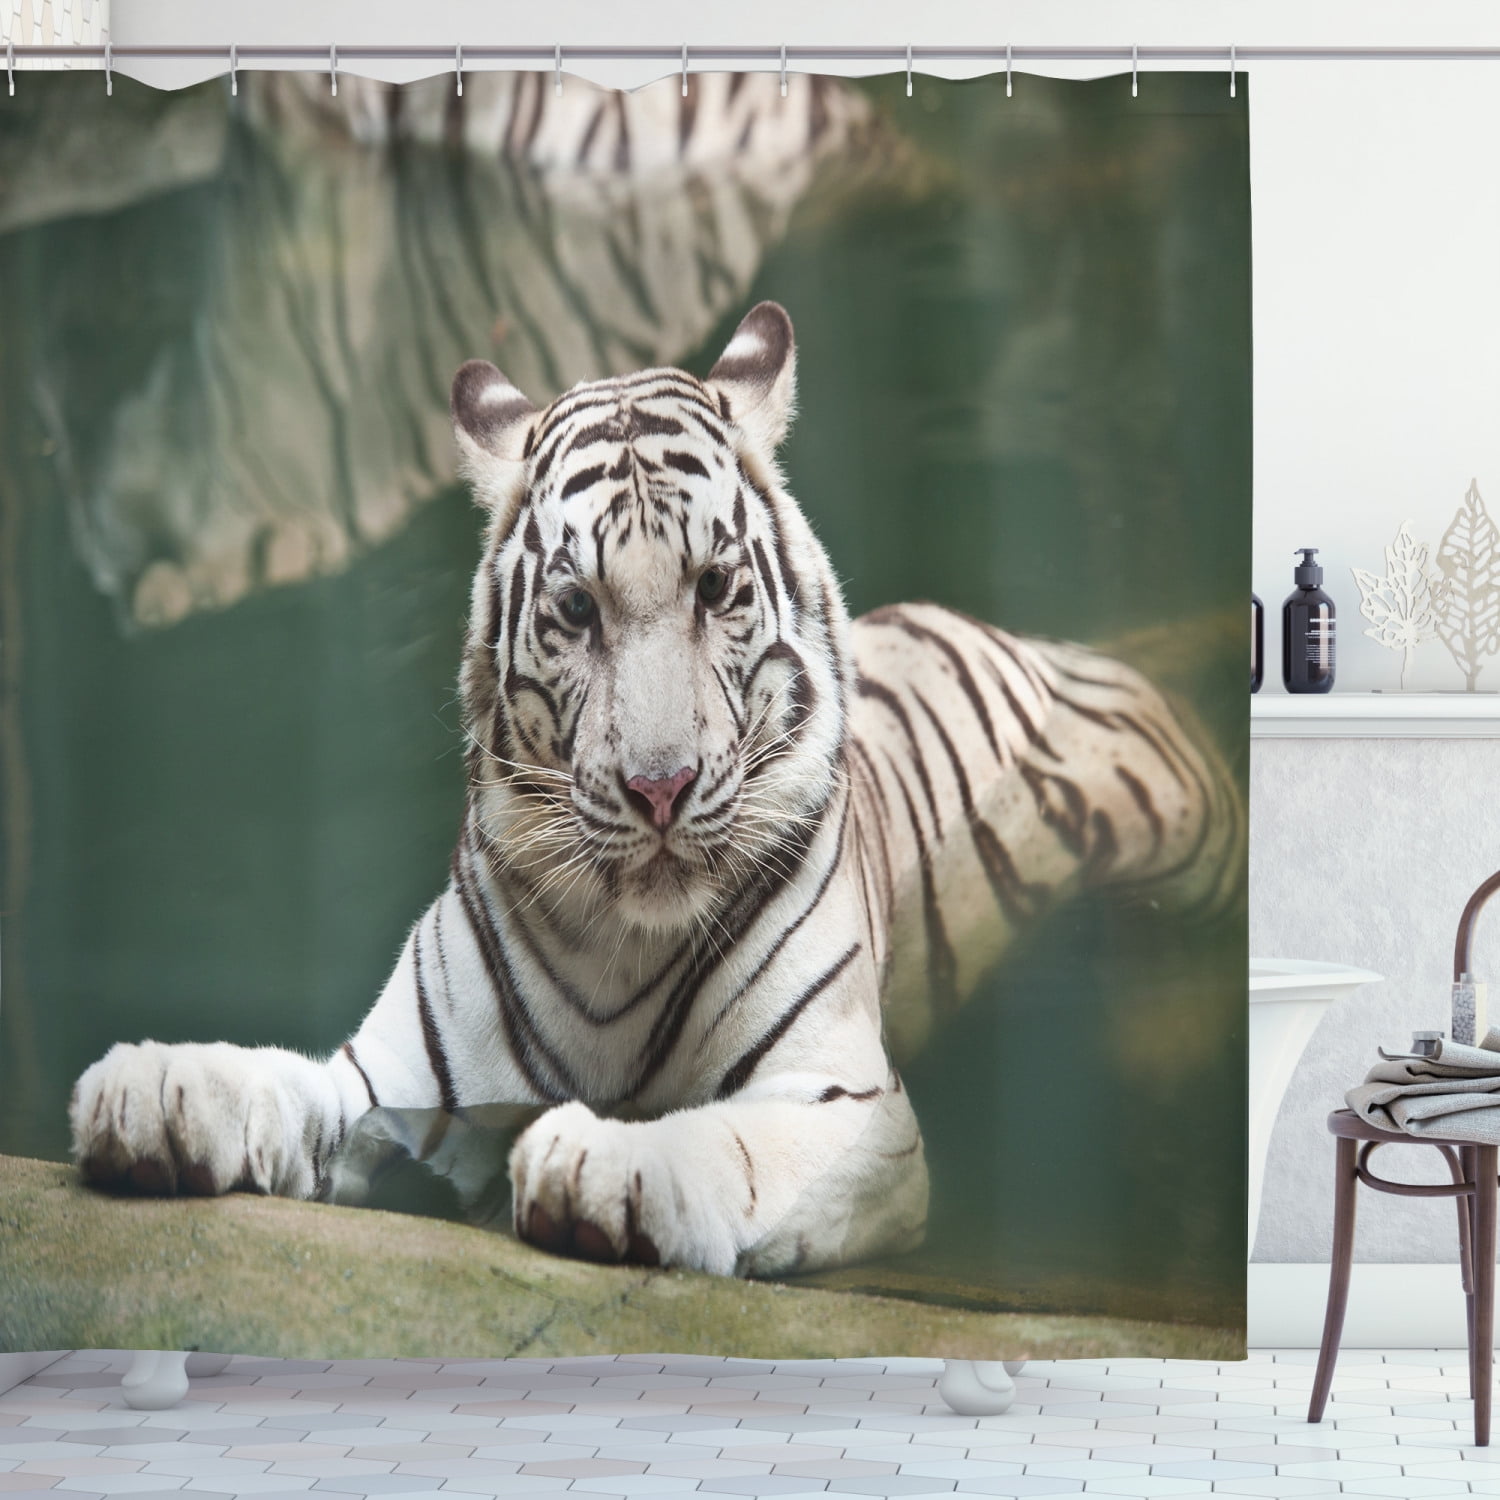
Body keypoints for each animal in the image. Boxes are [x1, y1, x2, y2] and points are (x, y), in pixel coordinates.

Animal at [68, 302, 1242, 1278]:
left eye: (714, 588)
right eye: (577, 610)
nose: (662, 786)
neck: (614, 944)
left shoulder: (849, 1107)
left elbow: (732, 1139)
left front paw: (608, 1165)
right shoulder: (395, 1081)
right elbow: (283, 1083)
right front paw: (155, 1089)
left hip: (1191, 830)